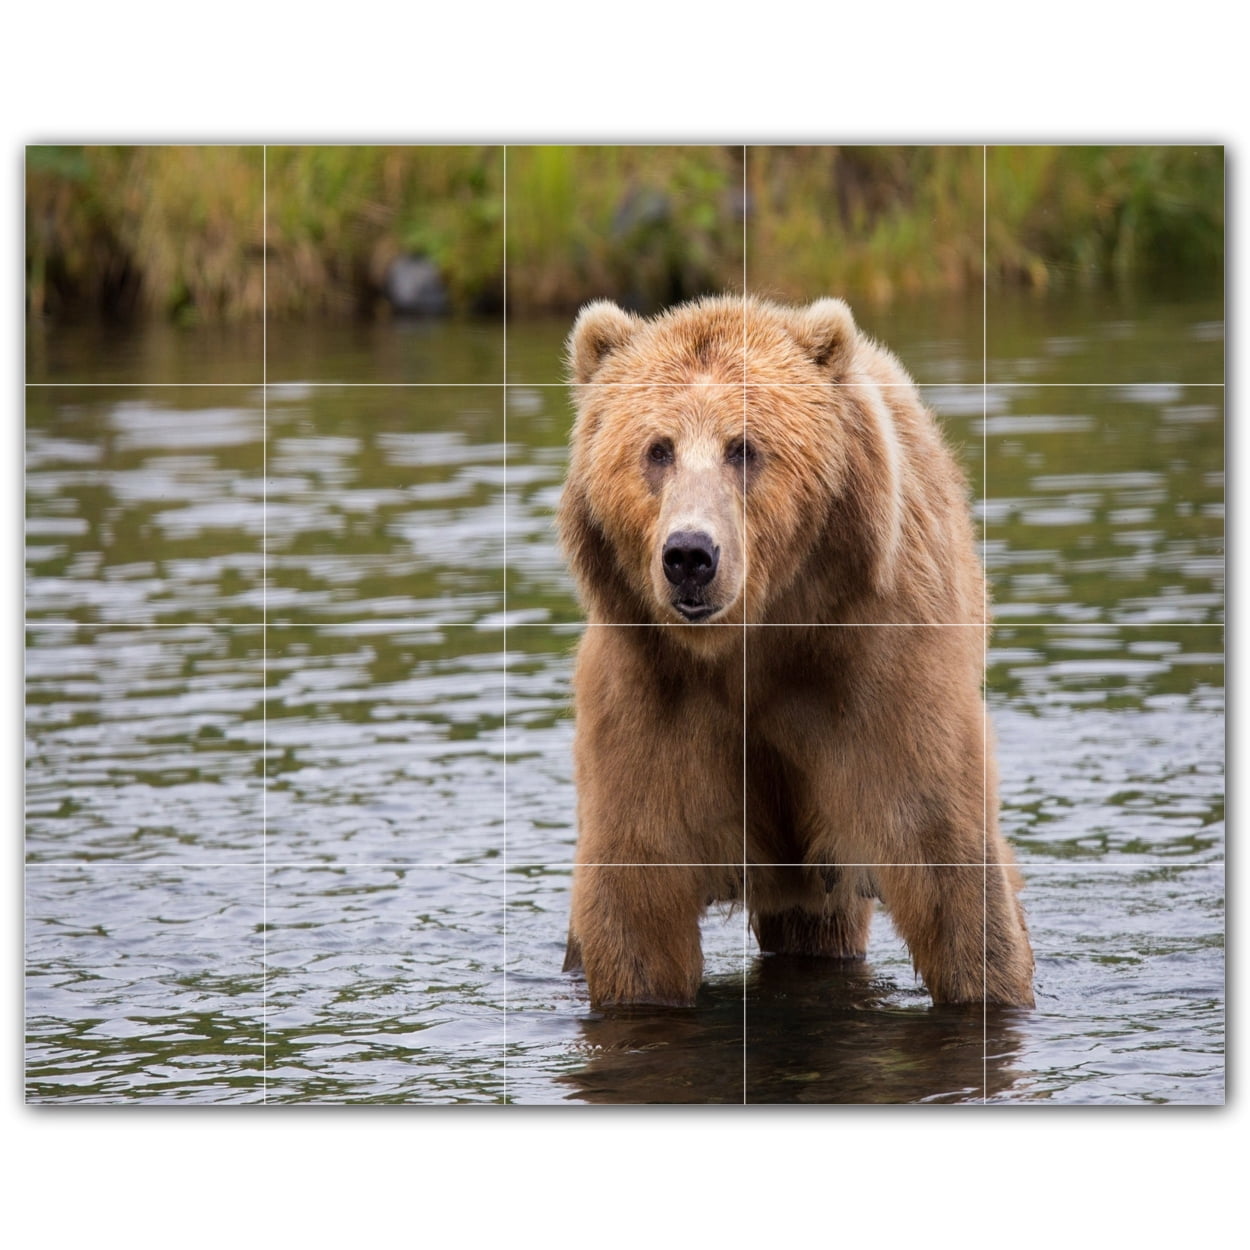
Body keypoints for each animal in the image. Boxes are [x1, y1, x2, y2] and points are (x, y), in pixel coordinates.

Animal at [557, 295, 1034, 1010]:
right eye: (657, 449)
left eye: (744, 448)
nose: (689, 556)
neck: (754, 643)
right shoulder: (651, 696)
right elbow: (636, 895)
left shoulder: (876, 673)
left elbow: (947, 864)